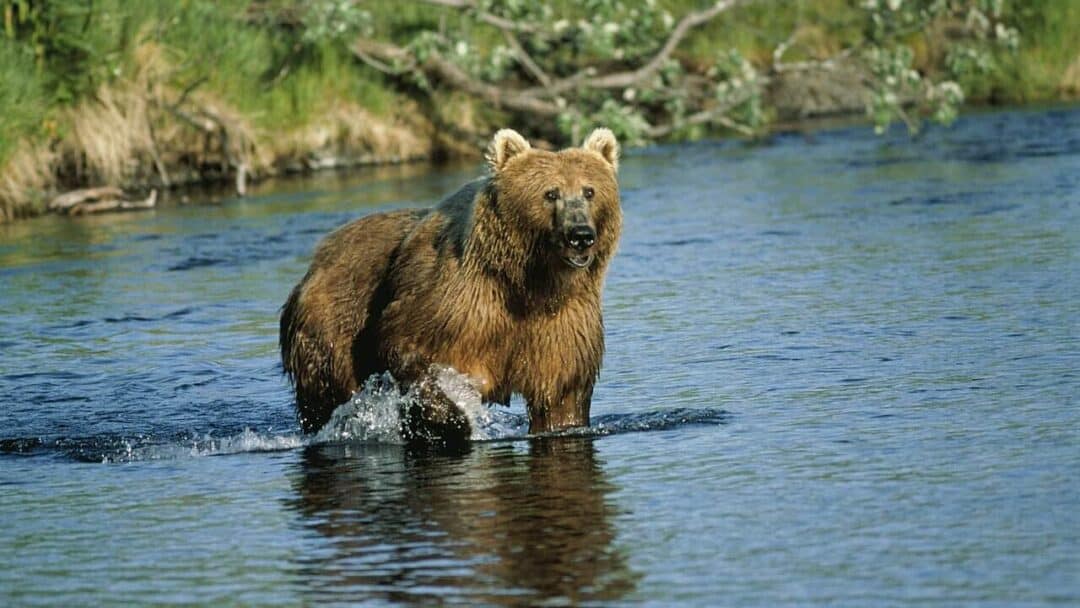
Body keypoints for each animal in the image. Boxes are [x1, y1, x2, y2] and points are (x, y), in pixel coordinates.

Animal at [280, 128, 621, 444]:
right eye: (550, 193)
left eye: (589, 191)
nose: (580, 234)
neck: (530, 282)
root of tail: (316, 260)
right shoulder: (458, 304)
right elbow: (412, 351)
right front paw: (451, 422)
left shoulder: (562, 324)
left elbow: (561, 396)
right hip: (332, 324)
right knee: (328, 393)